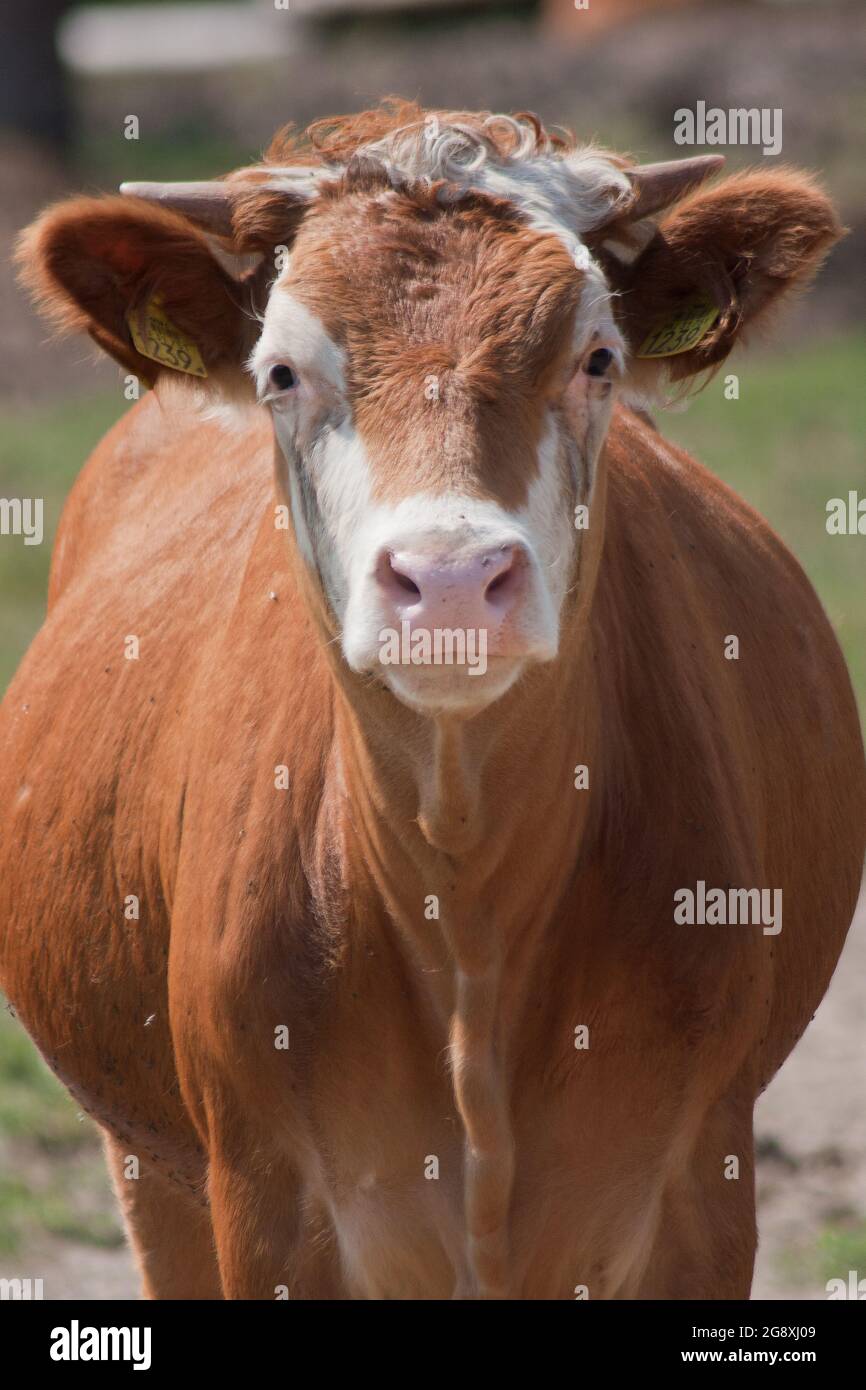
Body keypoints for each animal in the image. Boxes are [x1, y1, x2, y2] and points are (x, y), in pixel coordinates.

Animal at [1, 101, 864, 1300]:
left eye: (598, 357)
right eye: (281, 373)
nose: (450, 578)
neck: (465, 902)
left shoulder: (701, 1189)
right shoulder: (263, 1202)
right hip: (150, 1174)